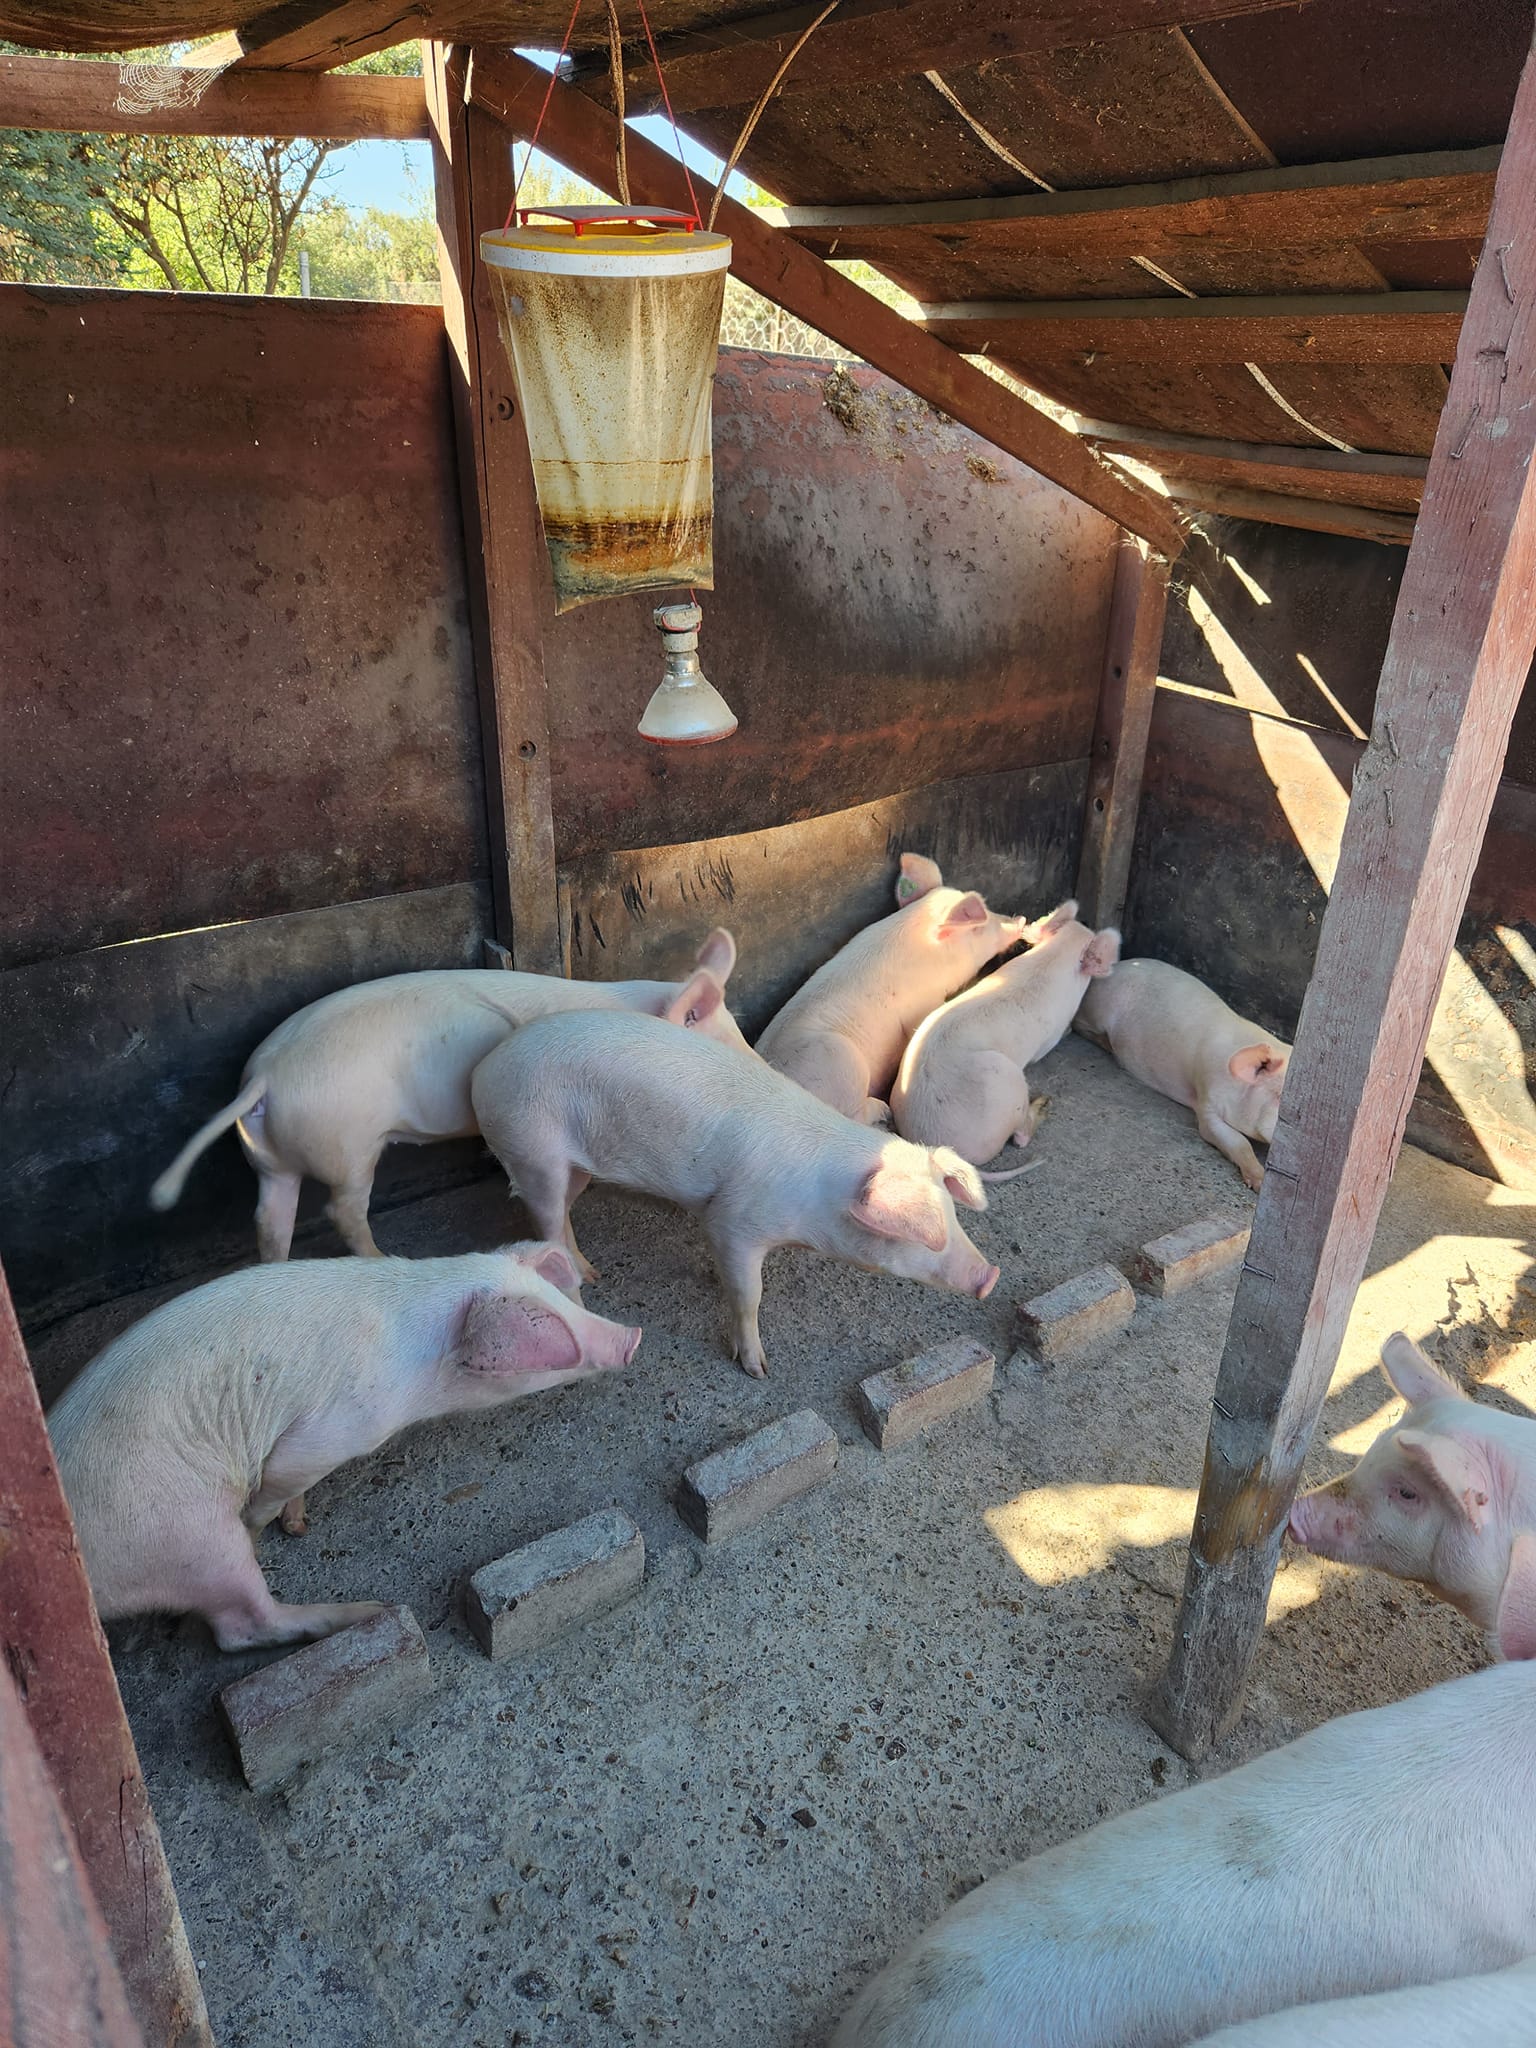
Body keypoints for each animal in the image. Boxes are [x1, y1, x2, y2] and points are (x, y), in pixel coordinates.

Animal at [47, 1246, 641, 1649]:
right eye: (552, 1342)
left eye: (558, 1297)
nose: (633, 1337)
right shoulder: (341, 1427)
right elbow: (278, 1480)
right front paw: (270, 1525)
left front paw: (297, 1523)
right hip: (185, 1536)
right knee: (241, 1625)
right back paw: (369, 1612)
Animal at [149, 930, 748, 1263]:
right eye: (720, 1046)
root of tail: (266, 1077)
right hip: (348, 1145)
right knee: (342, 1208)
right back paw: (381, 1258)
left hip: (271, 1159)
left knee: (270, 1219)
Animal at [468, 993, 1000, 1379]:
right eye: (925, 1235)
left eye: (954, 1215)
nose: (990, 1276)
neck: (815, 1203)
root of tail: (485, 1066)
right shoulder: (736, 1222)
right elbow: (749, 1294)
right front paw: (760, 1371)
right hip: (530, 1148)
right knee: (546, 1222)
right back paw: (582, 1289)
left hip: (572, 1164)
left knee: (563, 1215)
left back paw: (593, 1273)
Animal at [890, 900, 1120, 1161]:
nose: (1087, 922)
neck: (1056, 956)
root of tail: (932, 1144)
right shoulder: (1050, 1035)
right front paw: (1070, 1031)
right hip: (1007, 1083)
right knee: (1021, 1135)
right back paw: (1043, 1105)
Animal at [1075, 957, 1289, 1190]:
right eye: (1281, 1098)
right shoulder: (1207, 1101)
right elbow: (1236, 1141)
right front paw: (1259, 1183)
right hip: (1095, 1011)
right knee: (1077, 1026)